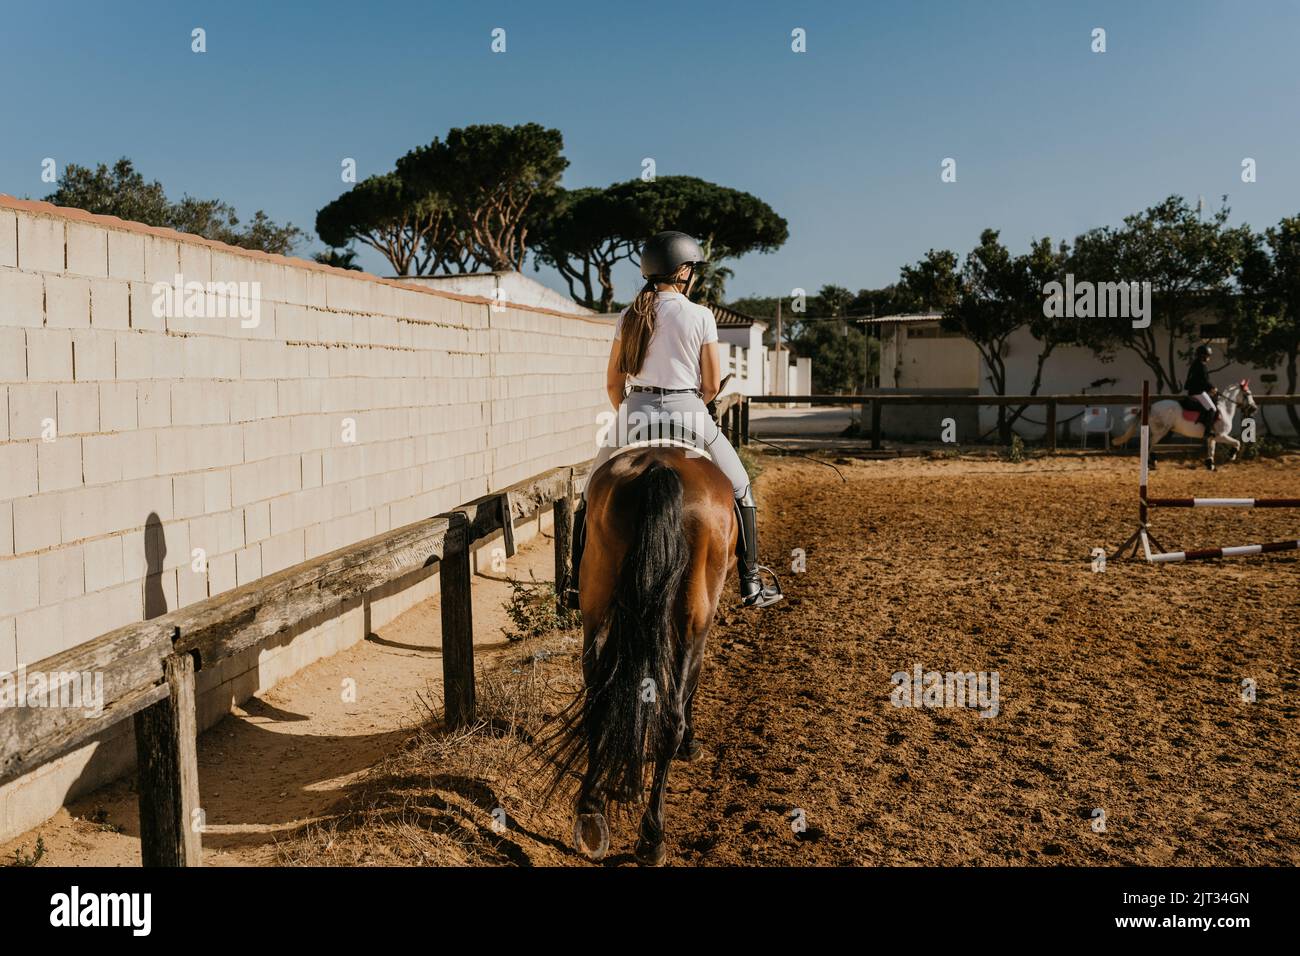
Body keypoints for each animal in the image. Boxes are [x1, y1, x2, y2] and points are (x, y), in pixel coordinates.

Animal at [542, 444, 736, 866]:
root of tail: (660, 468)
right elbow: (689, 687)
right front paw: (691, 747)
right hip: (695, 611)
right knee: (671, 719)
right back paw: (652, 838)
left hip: (597, 595)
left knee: (601, 700)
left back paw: (592, 814)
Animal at [1113, 379, 1258, 471]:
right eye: (1248, 394)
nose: (1254, 408)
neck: (1224, 409)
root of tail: (1151, 406)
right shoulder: (1220, 436)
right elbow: (1237, 443)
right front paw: (1231, 456)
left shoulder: (1212, 438)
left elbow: (1211, 450)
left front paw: (1210, 465)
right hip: (1161, 431)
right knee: (1150, 444)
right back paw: (1151, 463)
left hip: (1161, 431)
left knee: (1150, 444)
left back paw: (1152, 462)